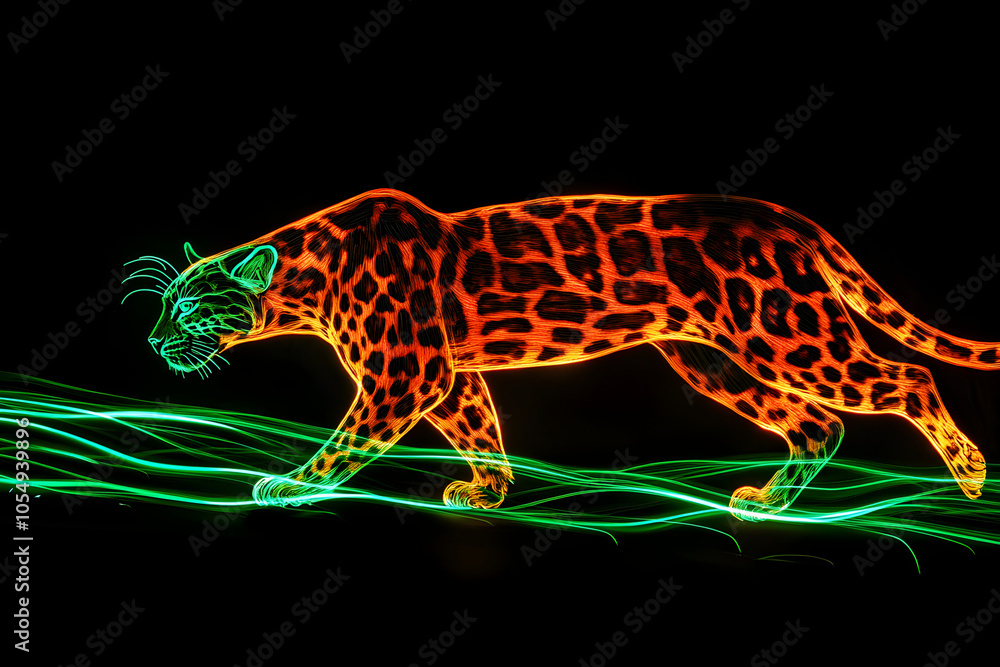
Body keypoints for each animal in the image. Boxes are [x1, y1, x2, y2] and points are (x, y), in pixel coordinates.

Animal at [127, 189, 997, 520]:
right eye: (164, 306)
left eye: (188, 307)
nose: (152, 339)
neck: (304, 278)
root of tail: (785, 216)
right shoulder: (448, 374)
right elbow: (480, 424)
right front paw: (487, 491)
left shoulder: (405, 371)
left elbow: (346, 441)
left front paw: (288, 484)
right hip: (713, 358)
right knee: (818, 424)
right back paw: (768, 501)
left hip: (785, 331)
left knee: (907, 377)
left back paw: (970, 477)